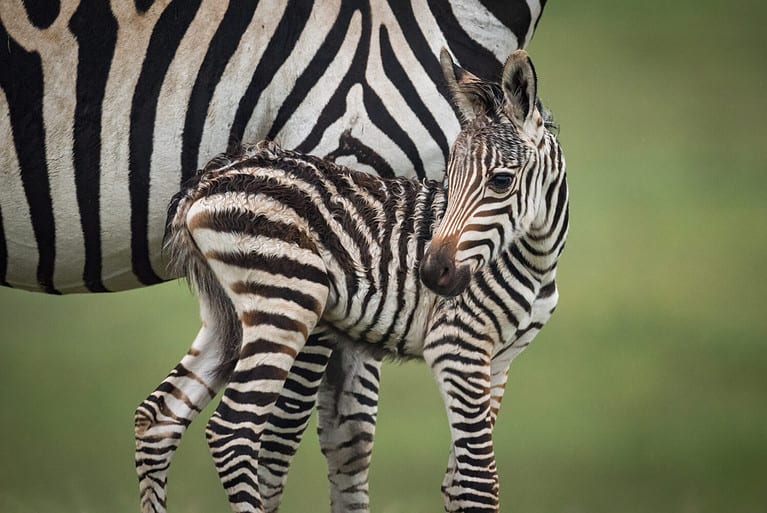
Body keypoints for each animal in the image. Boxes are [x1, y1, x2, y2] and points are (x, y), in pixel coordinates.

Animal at [149, 48, 568, 513]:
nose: (430, 272)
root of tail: (207, 180)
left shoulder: (499, 362)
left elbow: (459, 485)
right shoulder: (455, 346)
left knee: (158, 417)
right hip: (285, 298)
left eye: (501, 180)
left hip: (227, 316)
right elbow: (480, 482)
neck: (535, 259)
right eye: (449, 176)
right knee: (232, 429)